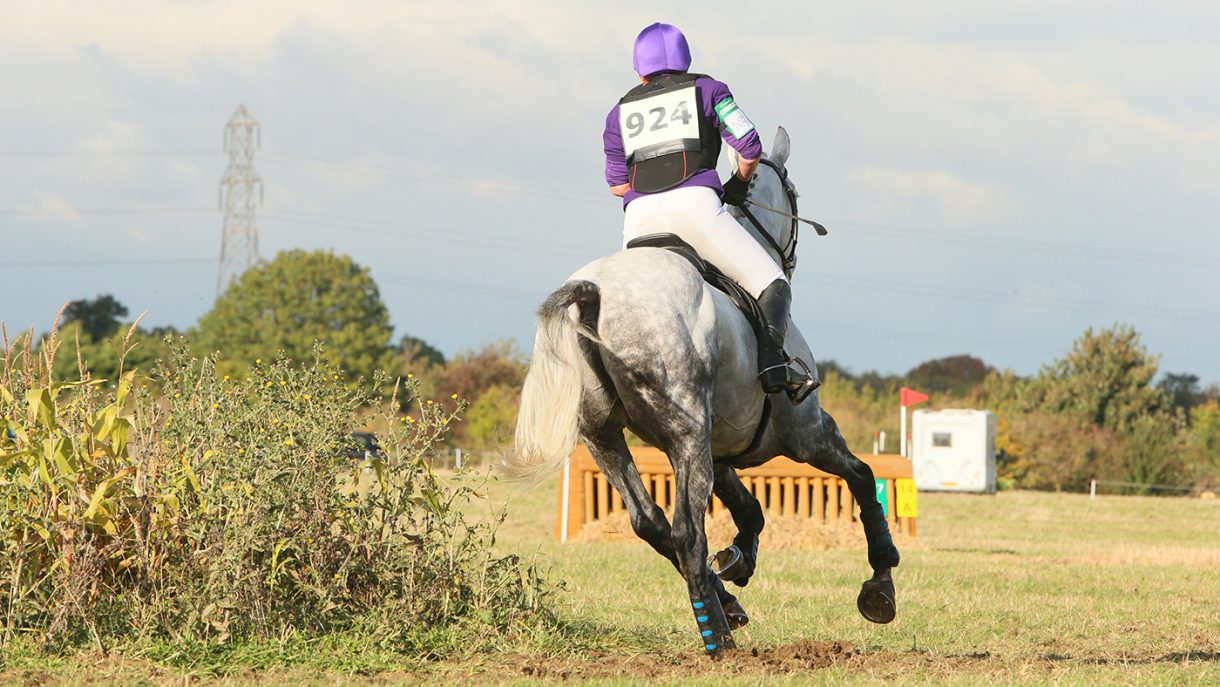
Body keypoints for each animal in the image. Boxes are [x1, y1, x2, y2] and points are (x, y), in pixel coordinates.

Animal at [507, 127, 899, 656]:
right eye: (793, 193)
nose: (793, 258)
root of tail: (594, 292)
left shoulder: (723, 441)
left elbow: (751, 509)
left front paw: (738, 562)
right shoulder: (807, 432)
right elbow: (860, 476)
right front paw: (880, 586)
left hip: (607, 437)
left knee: (651, 522)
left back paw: (724, 606)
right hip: (689, 434)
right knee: (687, 533)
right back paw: (719, 639)